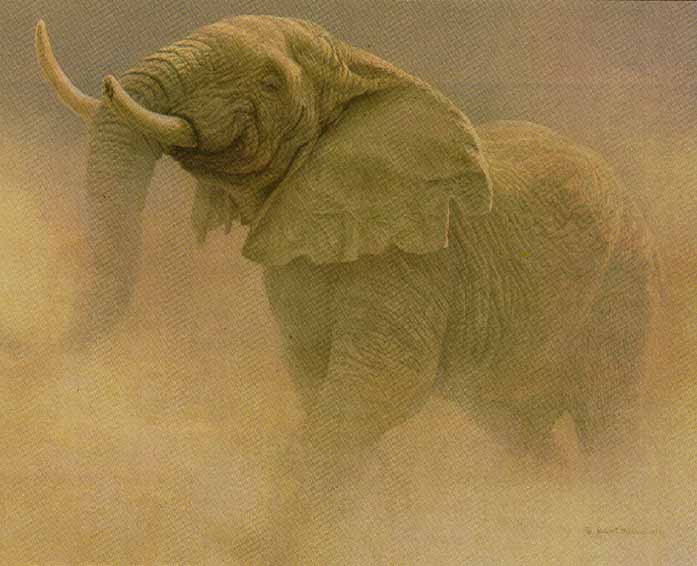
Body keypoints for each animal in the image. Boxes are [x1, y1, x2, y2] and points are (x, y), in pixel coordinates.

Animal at [36, 15, 658, 563]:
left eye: (271, 81)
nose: (34, 353)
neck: (357, 68)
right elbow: (318, 379)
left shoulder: (415, 256)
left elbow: (381, 382)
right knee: (515, 427)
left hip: (622, 283)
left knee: (606, 417)